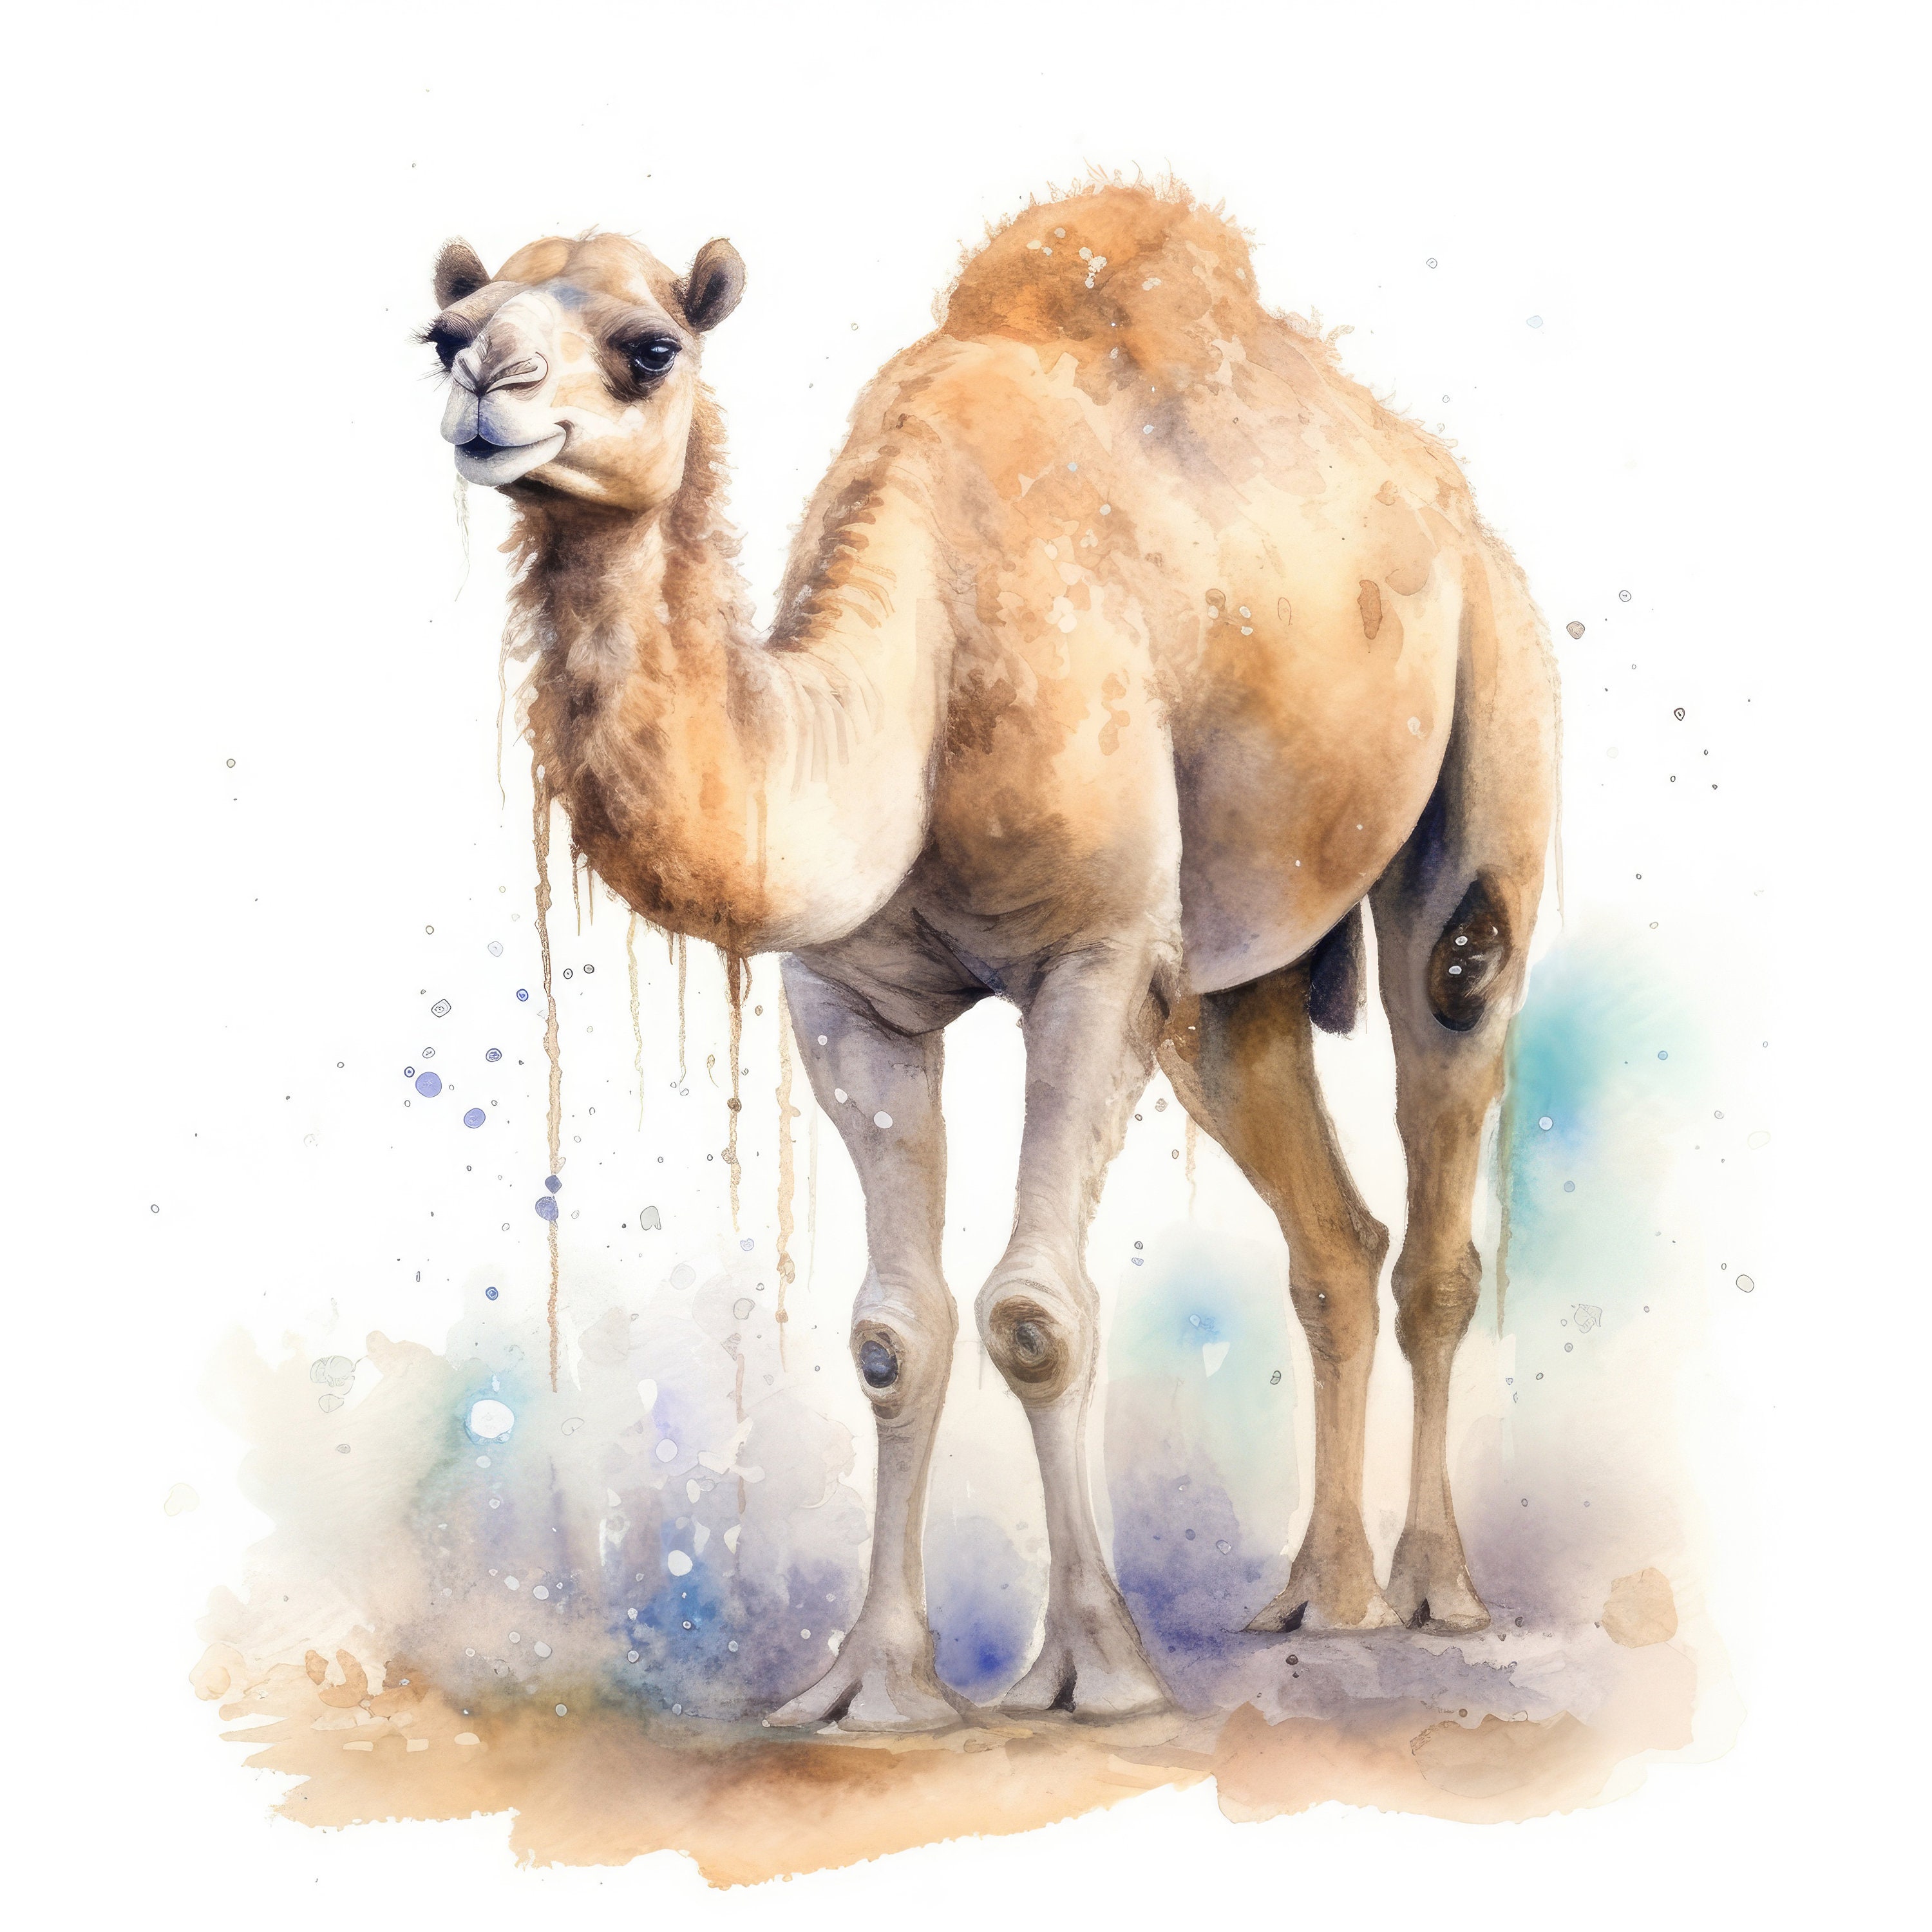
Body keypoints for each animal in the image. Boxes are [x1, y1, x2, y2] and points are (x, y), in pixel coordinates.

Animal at [423, 182, 1557, 1731]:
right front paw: (871, 1686)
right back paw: (1319, 1593)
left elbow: (1034, 1315)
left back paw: (1438, 1592)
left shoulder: (1092, 958)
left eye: (650, 347)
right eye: (445, 333)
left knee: (1449, 1054)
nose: (490, 395)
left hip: (1493, 719)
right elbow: (894, 1333)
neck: (919, 674)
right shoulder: (850, 998)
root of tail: (1451, 508)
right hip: (1222, 969)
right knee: (1323, 1221)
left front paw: (1097, 1667)